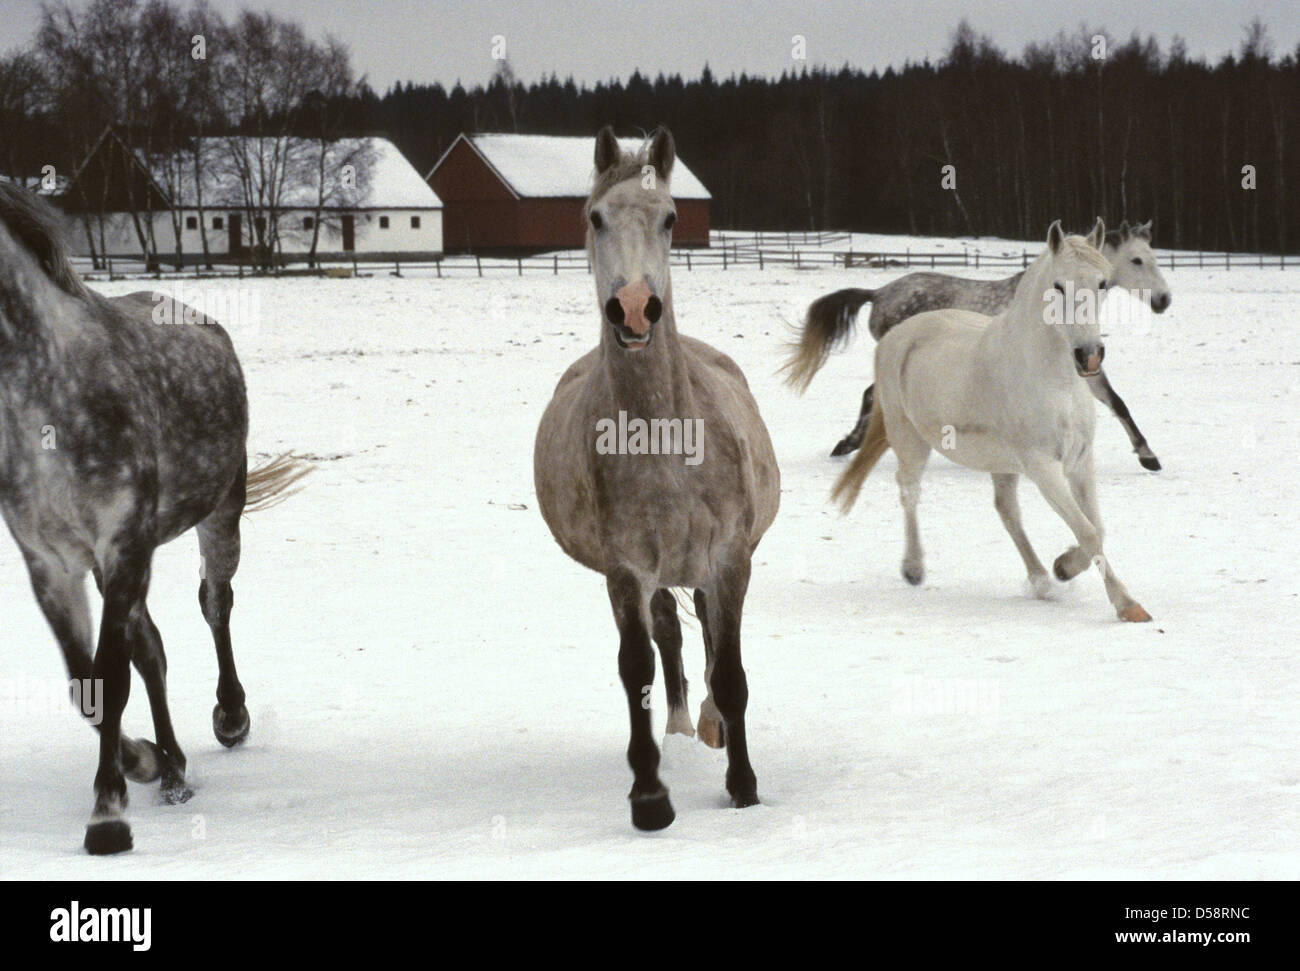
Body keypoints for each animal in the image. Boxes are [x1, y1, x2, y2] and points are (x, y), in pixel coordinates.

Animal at [0, 182, 309, 854]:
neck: (45, 393)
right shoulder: (52, 563)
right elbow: (85, 684)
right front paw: (138, 761)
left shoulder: (122, 544)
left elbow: (110, 678)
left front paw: (109, 816)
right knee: (153, 649)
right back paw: (169, 768)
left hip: (218, 518)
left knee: (214, 602)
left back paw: (228, 719)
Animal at [533, 127, 780, 830]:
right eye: (595, 217)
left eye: (669, 217)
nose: (636, 309)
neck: (663, 440)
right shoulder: (627, 570)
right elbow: (637, 666)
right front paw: (649, 798)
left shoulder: (728, 558)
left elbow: (731, 673)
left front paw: (743, 786)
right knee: (669, 631)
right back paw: (677, 728)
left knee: (707, 634)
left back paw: (711, 727)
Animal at [785, 221, 1172, 469]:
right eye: (1137, 260)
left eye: (1103, 282)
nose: (1164, 300)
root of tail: (879, 293)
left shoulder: (1085, 367)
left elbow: (1117, 403)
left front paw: (1148, 455)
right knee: (871, 396)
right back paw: (849, 444)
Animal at [829, 219, 1151, 623]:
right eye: (1058, 286)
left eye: (1103, 282)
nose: (1089, 356)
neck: (1054, 381)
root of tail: (898, 334)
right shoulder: (1042, 466)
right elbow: (1088, 531)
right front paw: (1126, 604)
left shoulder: (1079, 461)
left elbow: (1097, 529)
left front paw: (1064, 568)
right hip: (910, 439)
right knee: (909, 490)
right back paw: (914, 568)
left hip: (1002, 463)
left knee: (1007, 511)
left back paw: (1042, 581)